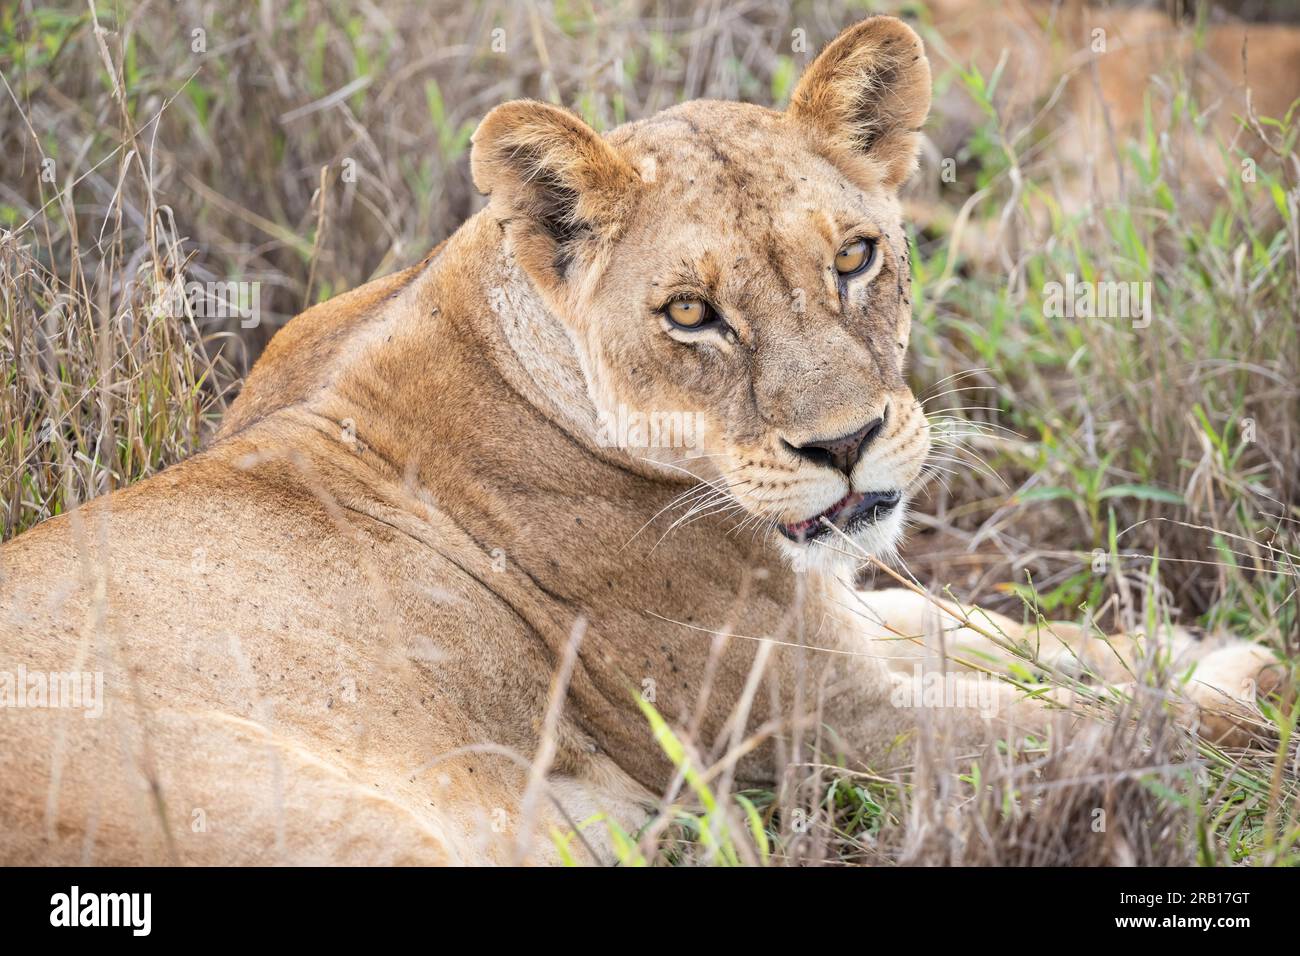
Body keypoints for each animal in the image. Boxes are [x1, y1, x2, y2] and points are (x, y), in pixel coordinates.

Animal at [0, 16, 1282, 866]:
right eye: (690, 313)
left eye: (855, 256)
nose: (849, 442)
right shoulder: (825, 727)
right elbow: (1131, 732)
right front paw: (1249, 691)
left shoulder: (832, 612)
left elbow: (996, 629)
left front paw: (1187, 643)